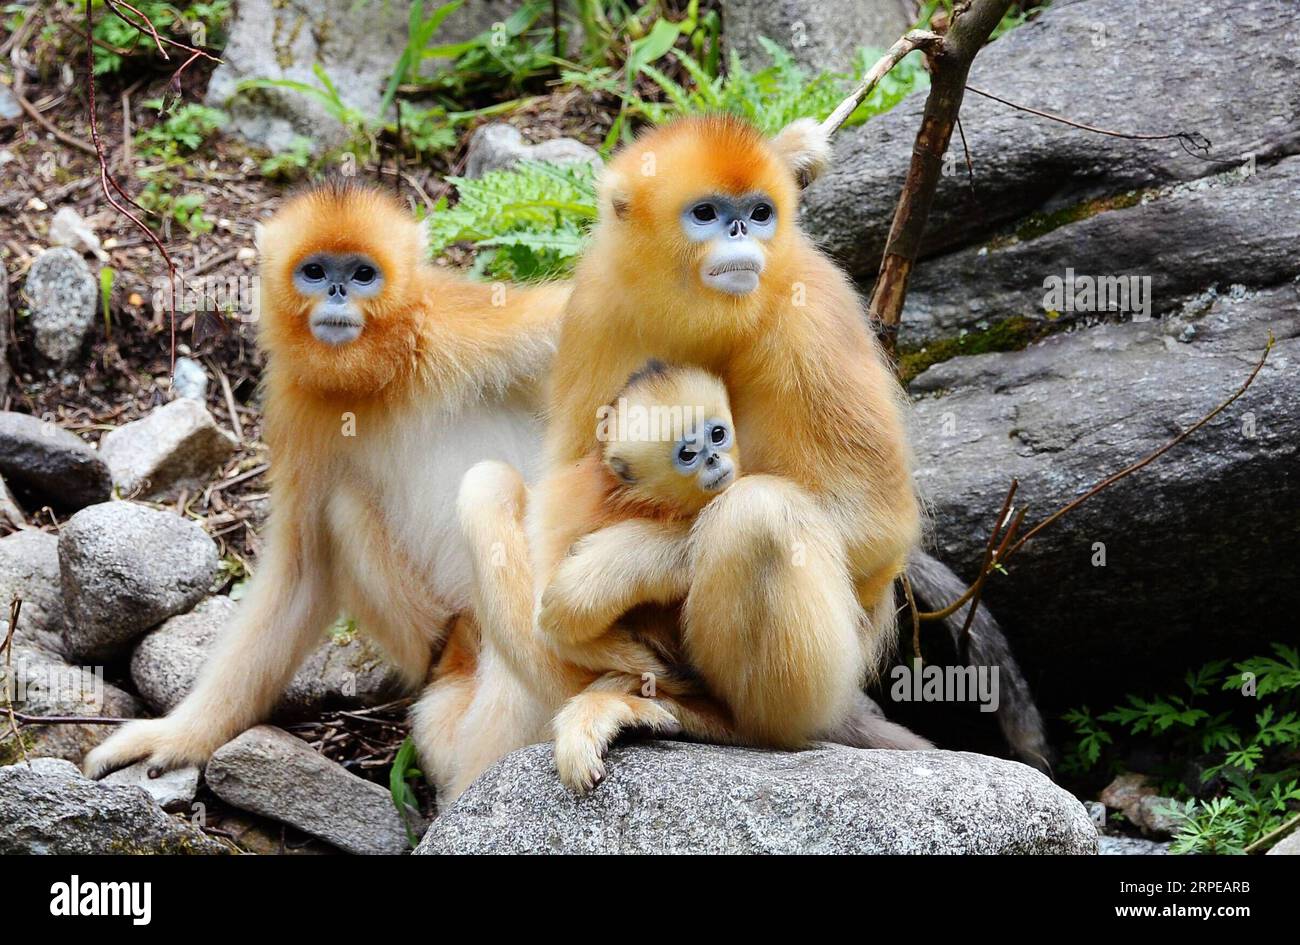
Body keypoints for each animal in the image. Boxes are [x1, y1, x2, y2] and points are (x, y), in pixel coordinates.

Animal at [83, 180, 571, 779]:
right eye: (315, 272)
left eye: (362, 274)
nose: (337, 292)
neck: (383, 378)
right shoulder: (296, 405)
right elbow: (301, 571)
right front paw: (181, 733)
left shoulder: (468, 329)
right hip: (439, 651)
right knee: (347, 509)